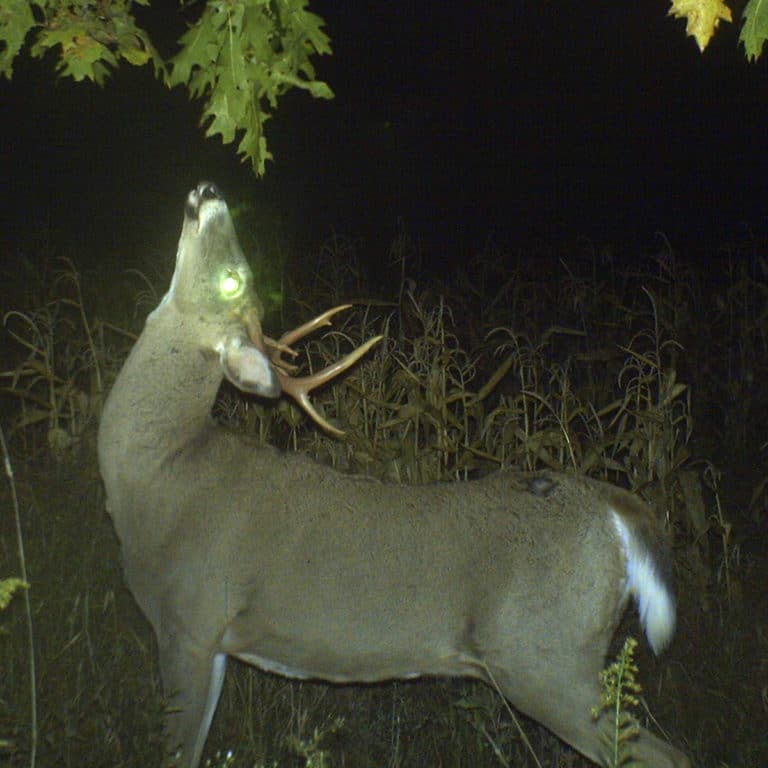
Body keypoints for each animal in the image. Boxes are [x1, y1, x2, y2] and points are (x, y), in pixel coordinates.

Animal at [97, 182, 691, 768]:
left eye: (232, 280)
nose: (210, 189)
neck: (158, 474)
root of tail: (611, 505)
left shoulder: (189, 621)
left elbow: (179, 751)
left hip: (547, 658)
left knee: (667, 754)